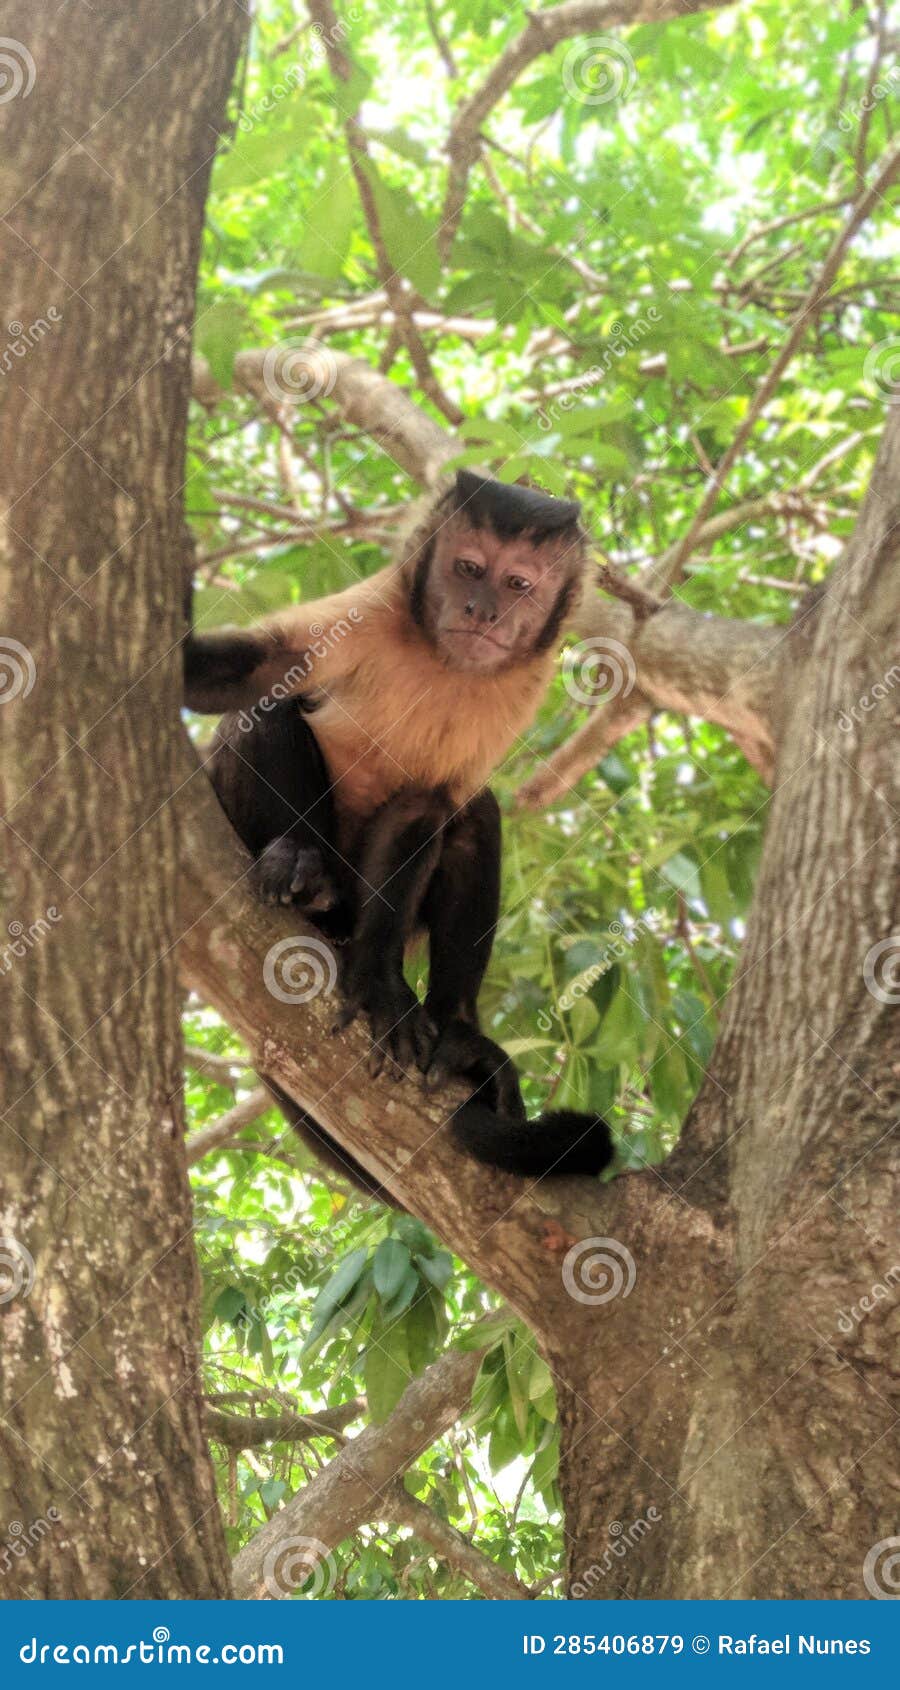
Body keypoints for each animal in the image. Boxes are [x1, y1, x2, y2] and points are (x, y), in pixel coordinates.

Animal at [184, 469, 615, 1194]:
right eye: (468, 568)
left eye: (517, 583)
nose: (481, 610)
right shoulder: (378, 606)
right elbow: (261, 669)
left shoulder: (526, 683)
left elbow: (425, 806)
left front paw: (383, 986)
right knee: (267, 706)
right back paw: (302, 869)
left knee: (472, 817)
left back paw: (458, 1030)